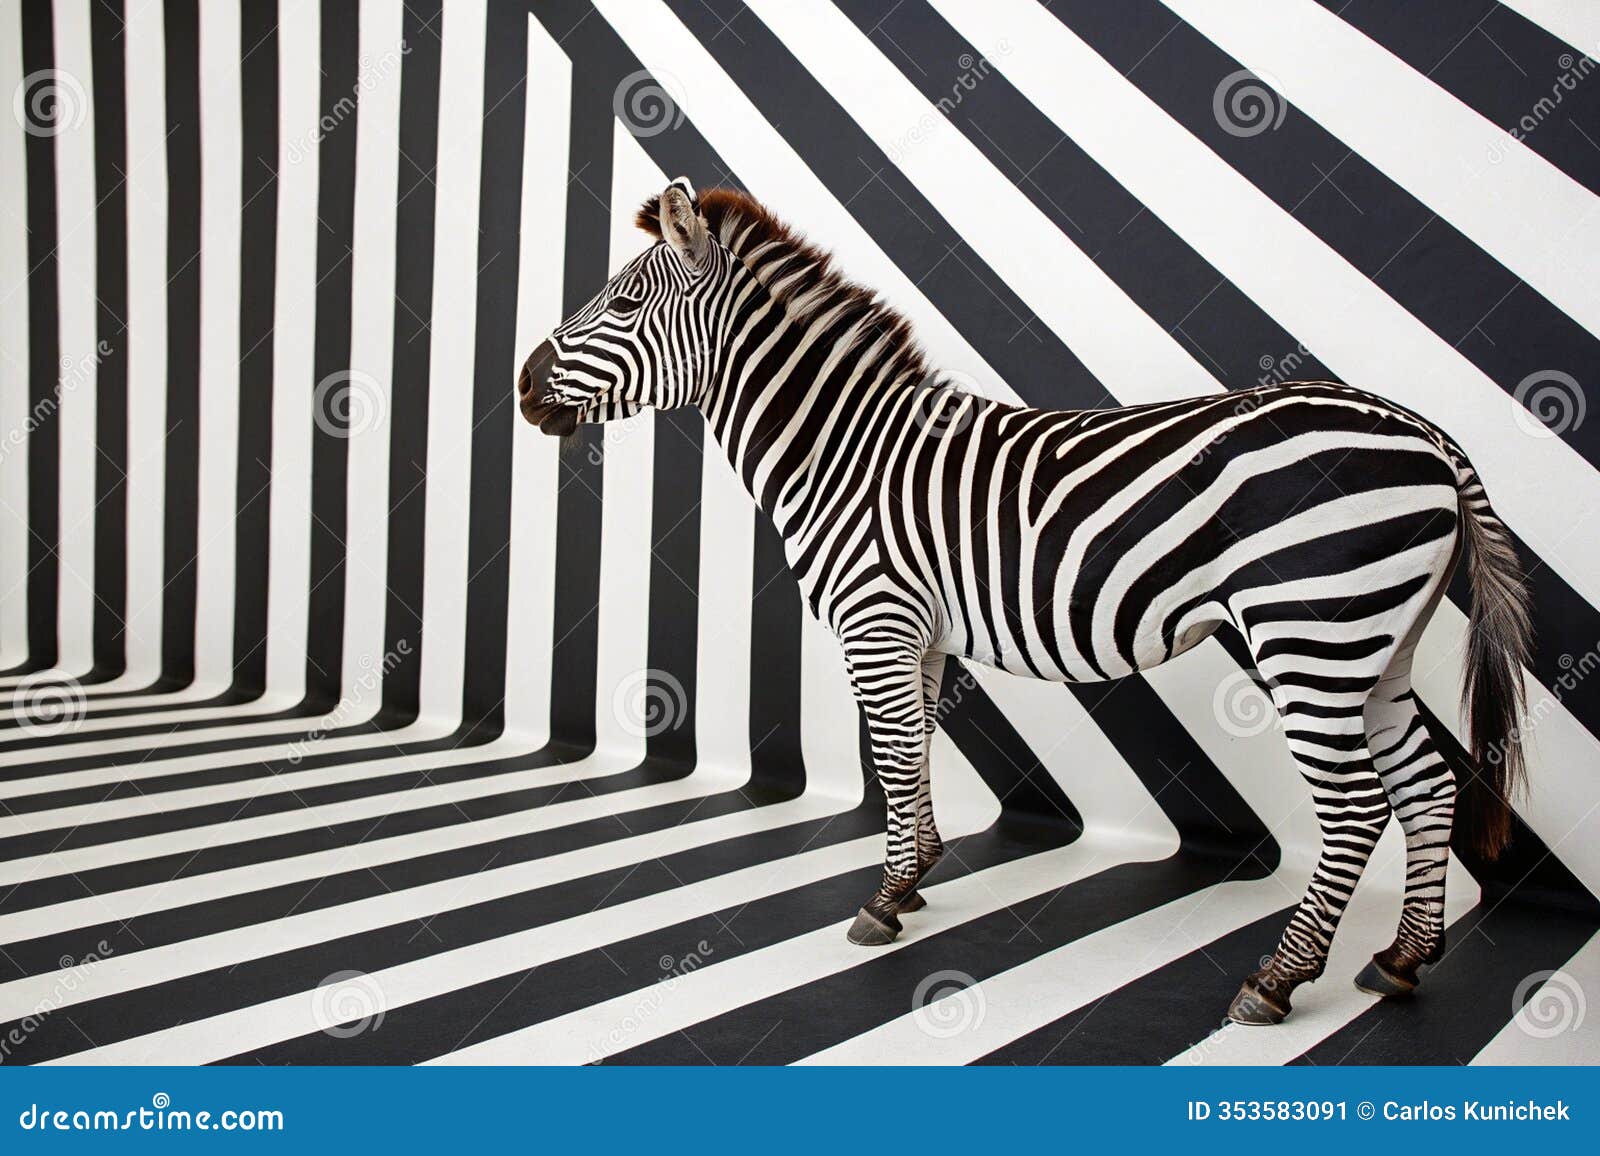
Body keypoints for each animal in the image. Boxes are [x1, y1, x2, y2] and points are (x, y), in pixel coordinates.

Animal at [517, 178, 1533, 1026]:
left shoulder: (875, 618)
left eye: (621, 304)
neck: (842, 452)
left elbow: (892, 755)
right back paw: (1401, 960)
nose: (523, 386)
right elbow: (917, 747)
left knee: (1357, 807)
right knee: (1430, 784)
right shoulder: (919, 631)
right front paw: (916, 876)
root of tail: (1425, 432)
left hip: (1309, 631)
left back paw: (1277, 981)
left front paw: (880, 902)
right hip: (1377, 645)